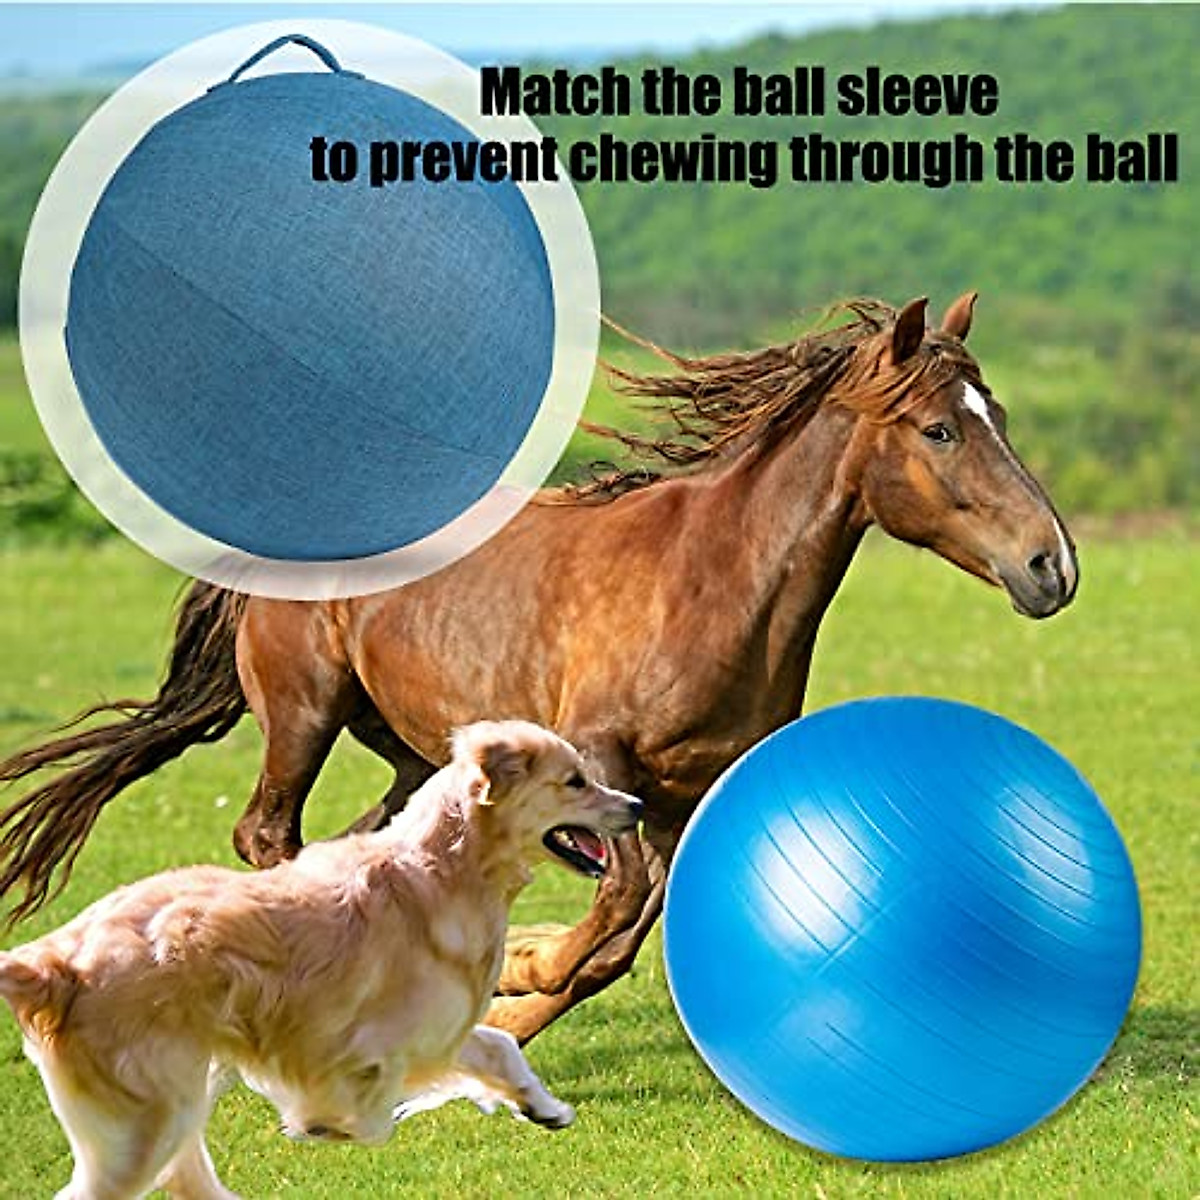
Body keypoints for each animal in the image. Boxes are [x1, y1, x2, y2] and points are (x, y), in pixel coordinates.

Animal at [0, 294, 1078, 1043]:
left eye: (996, 412)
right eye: (939, 428)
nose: (1052, 567)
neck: (718, 580)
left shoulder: (690, 789)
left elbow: (629, 930)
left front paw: (513, 998)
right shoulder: (600, 757)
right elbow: (617, 904)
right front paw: (519, 980)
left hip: (408, 749)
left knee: (354, 849)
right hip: (305, 714)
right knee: (268, 834)